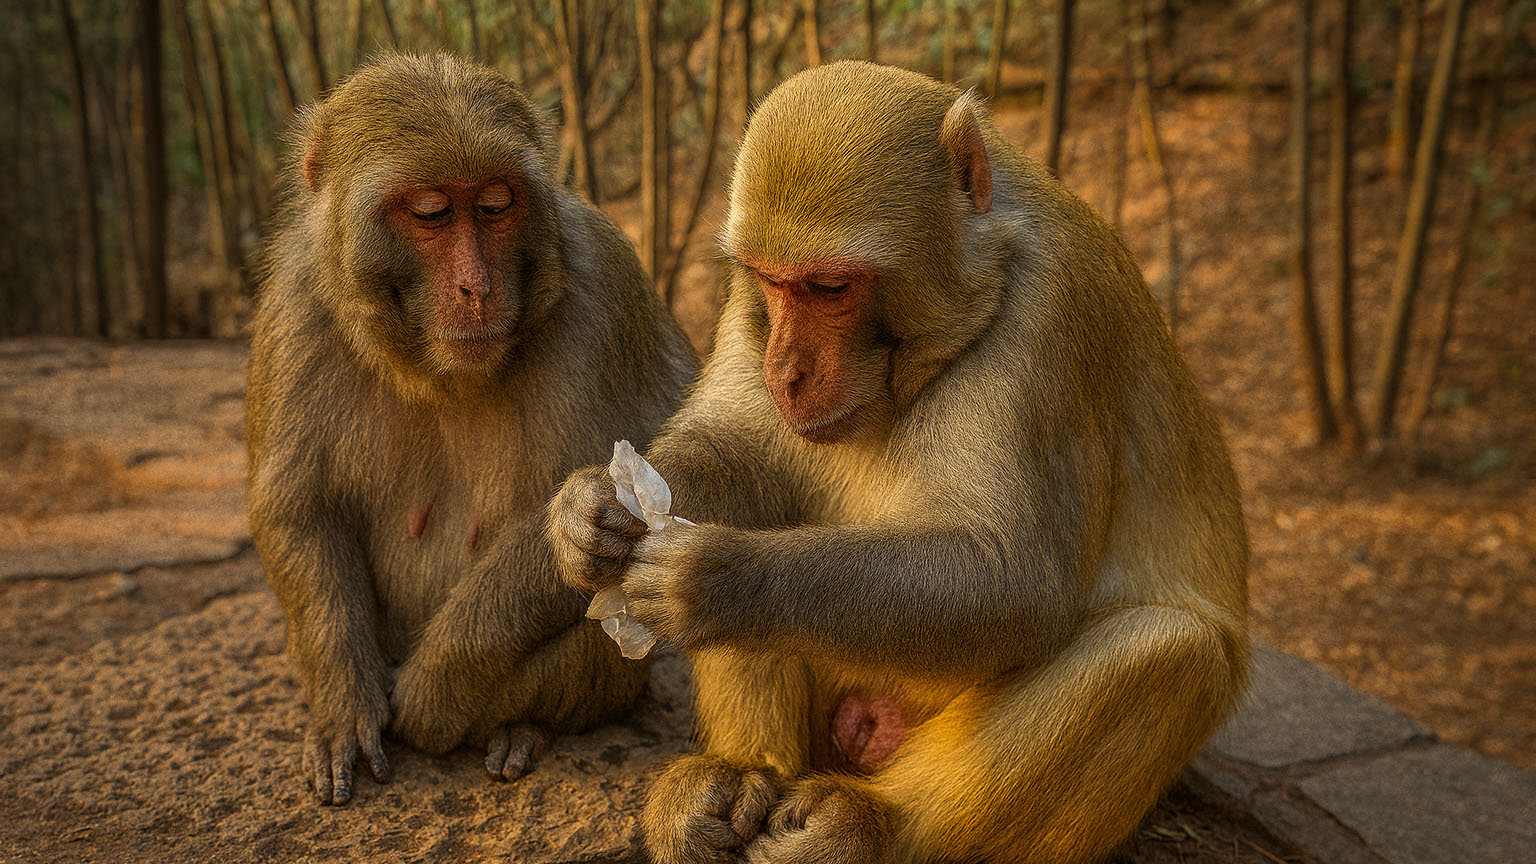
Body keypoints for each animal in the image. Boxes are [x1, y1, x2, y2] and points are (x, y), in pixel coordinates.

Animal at [245, 53, 697, 806]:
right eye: (429, 212)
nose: (476, 287)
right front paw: (344, 709)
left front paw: (432, 695)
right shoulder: (296, 301)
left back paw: (519, 726)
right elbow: (296, 508)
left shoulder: (604, 282)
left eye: (495, 205)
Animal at [547, 61, 1249, 864]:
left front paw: (716, 580)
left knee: (1169, 651)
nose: (784, 370)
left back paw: (871, 825)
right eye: (770, 280)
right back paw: (742, 777)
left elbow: (1016, 581)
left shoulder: (1053, 311)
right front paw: (589, 514)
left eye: (829, 287)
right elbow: (740, 452)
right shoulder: (748, 308)